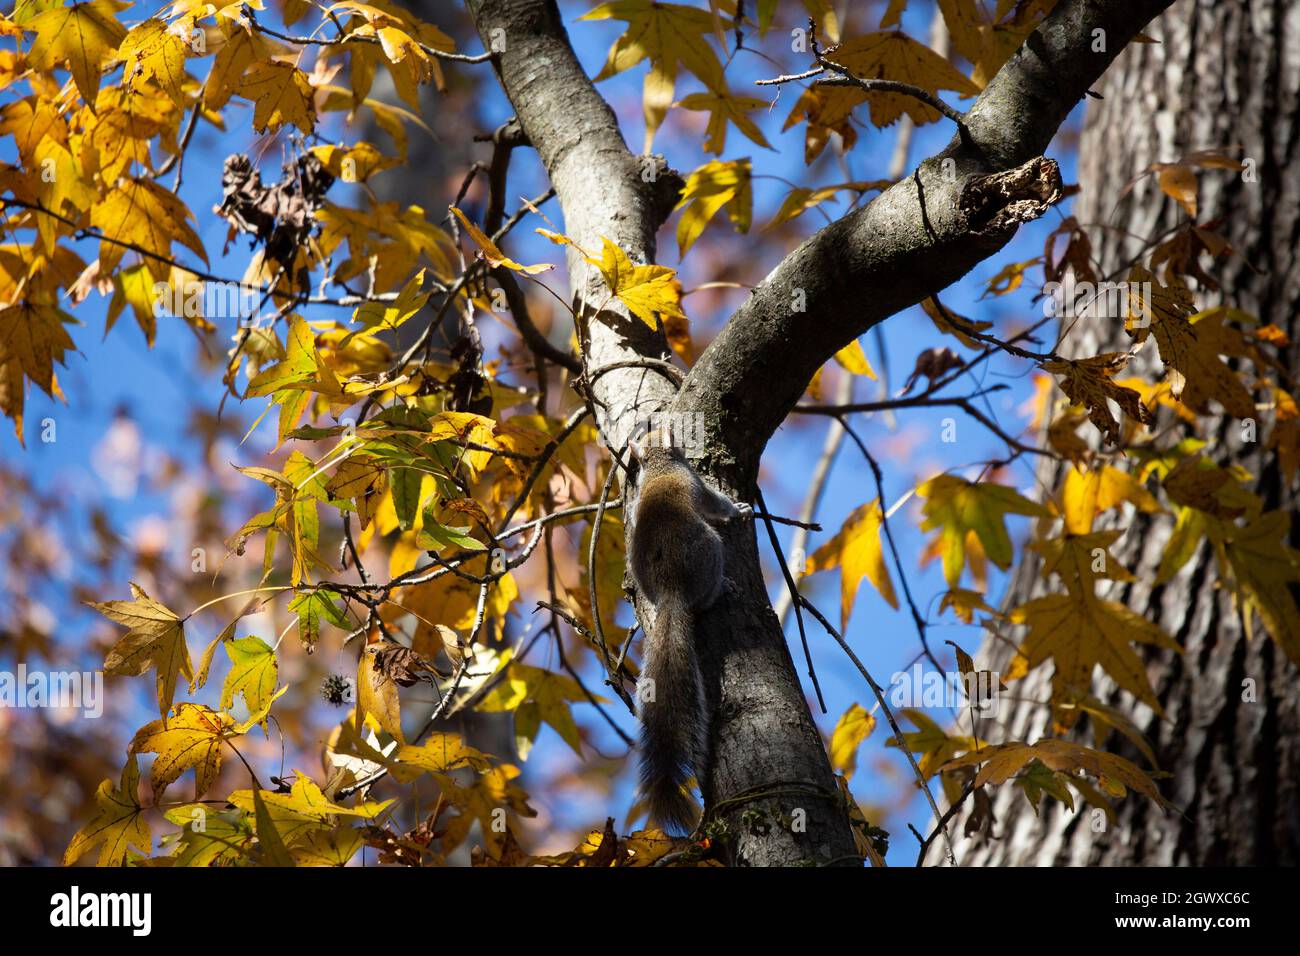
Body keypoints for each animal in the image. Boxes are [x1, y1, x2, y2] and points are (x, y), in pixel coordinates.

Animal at [626, 433, 751, 833]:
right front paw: (739, 509)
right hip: (711, 548)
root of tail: (671, 589)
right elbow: (717, 503)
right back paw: (723, 587)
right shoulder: (699, 486)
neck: (659, 465)